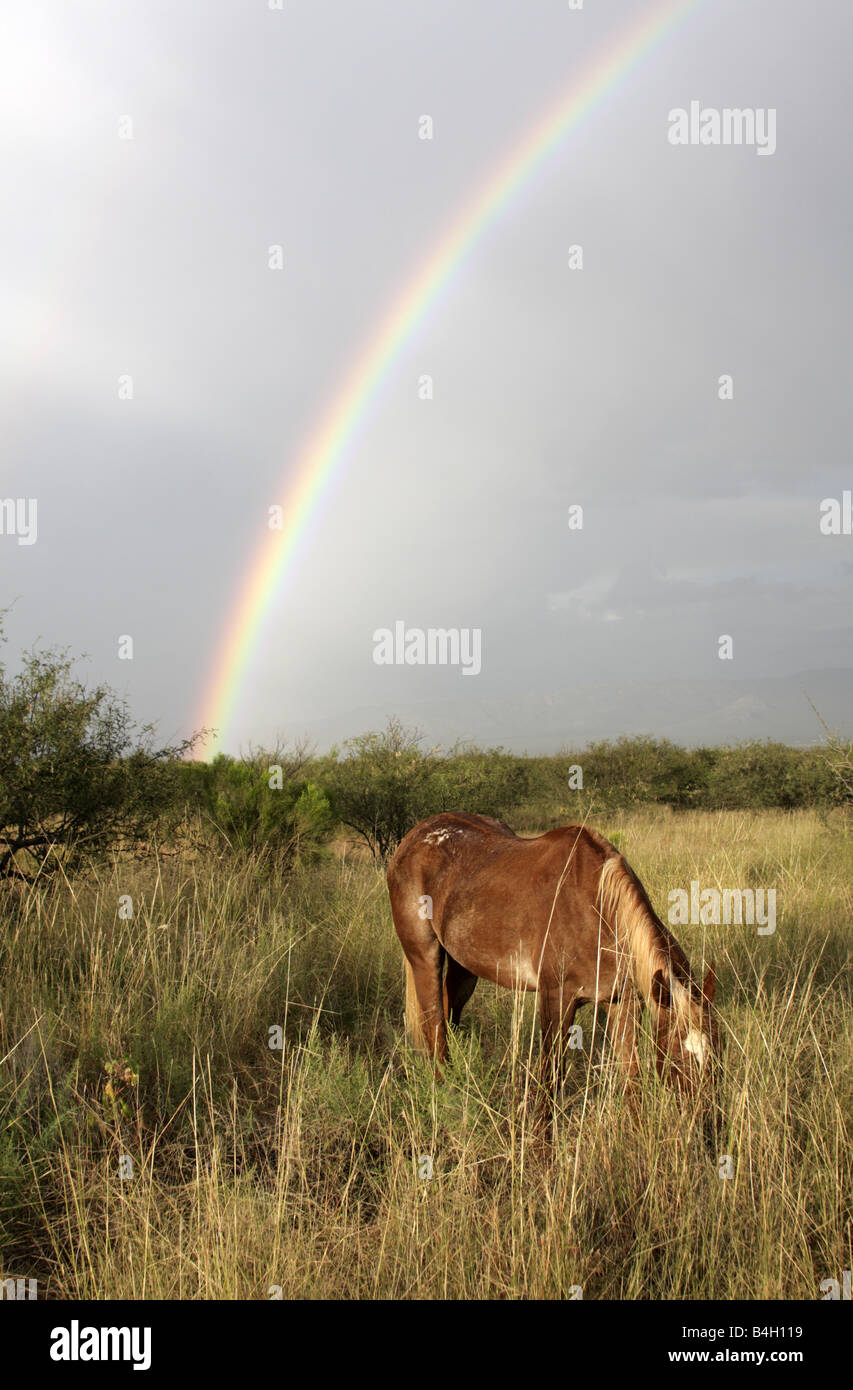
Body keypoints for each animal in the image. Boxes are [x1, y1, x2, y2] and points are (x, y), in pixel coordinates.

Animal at [387, 812, 719, 1104]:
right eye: (679, 1057)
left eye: (714, 1055)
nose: (705, 1122)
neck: (599, 910)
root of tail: (413, 838)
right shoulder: (556, 999)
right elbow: (550, 1081)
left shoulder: (620, 1002)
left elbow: (631, 1080)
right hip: (424, 957)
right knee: (433, 1022)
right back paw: (444, 1089)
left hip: (465, 967)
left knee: (448, 1010)